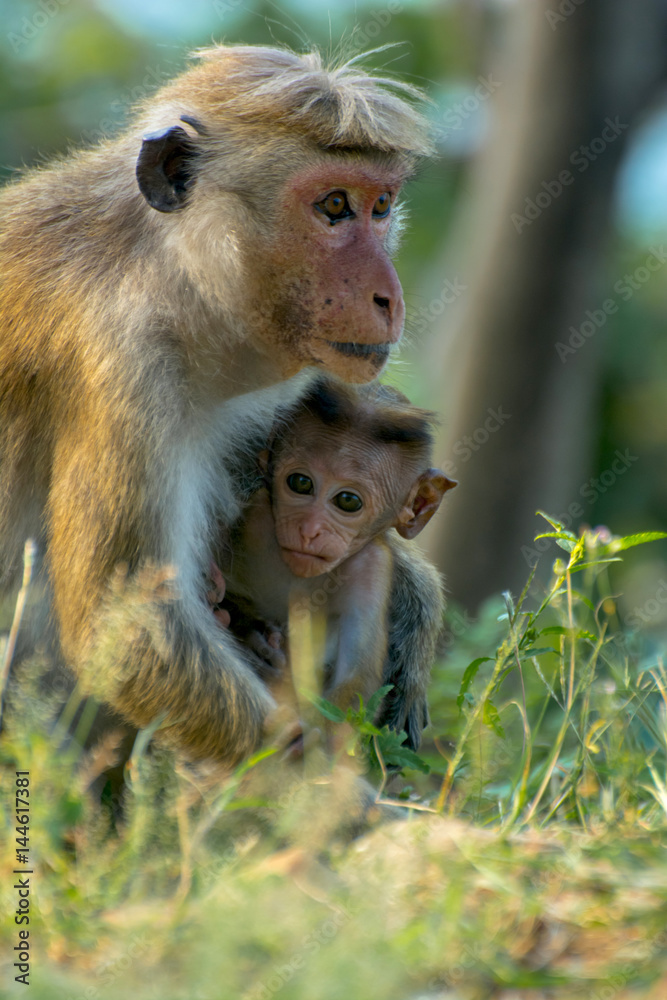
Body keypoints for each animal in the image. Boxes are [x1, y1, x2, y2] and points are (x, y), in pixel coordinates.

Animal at [215, 377, 456, 751]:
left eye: (348, 501)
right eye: (300, 483)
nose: (309, 529)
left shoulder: (372, 564)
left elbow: (357, 676)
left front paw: (313, 738)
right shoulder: (256, 513)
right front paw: (247, 627)